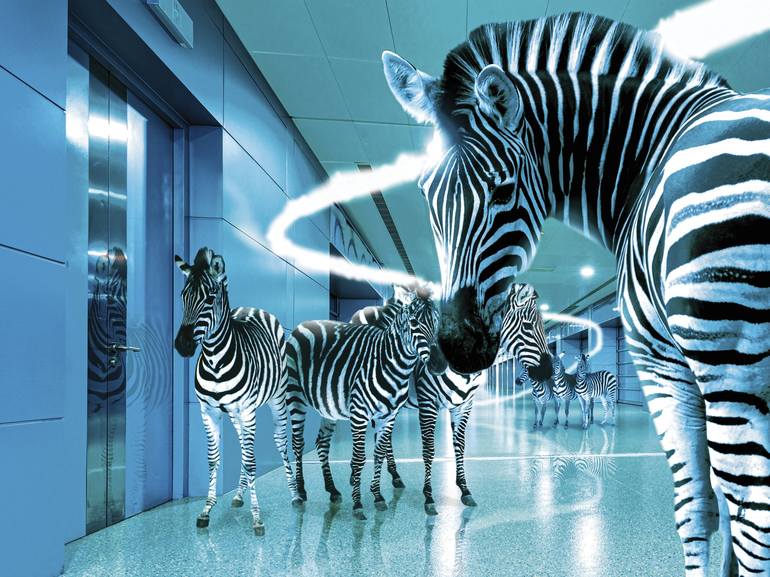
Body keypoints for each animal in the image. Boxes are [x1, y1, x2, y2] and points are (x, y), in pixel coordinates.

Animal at [173, 247, 299, 535]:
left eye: (210, 298)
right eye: (183, 296)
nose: (183, 345)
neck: (214, 360)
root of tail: (254, 308)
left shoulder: (247, 408)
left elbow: (252, 461)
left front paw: (257, 518)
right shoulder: (208, 411)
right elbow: (213, 459)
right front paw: (206, 510)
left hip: (276, 400)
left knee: (279, 441)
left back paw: (295, 494)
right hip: (234, 413)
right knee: (243, 444)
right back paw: (240, 494)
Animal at [286, 286, 443, 520]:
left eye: (438, 321)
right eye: (414, 322)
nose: (440, 364)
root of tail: (303, 324)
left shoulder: (388, 413)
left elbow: (379, 451)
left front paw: (377, 495)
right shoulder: (360, 412)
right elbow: (361, 456)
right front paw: (358, 502)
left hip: (328, 405)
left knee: (322, 442)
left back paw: (332, 489)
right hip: (295, 395)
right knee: (298, 443)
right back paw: (301, 491)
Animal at [352, 282, 551, 514]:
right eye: (528, 326)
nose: (548, 370)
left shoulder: (464, 405)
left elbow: (460, 446)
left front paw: (465, 490)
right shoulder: (428, 402)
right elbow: (429, 449)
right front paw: (429, 497)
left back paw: (394, 476)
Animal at [382, 12, 770, 575]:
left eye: (503, 190)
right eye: (426, 194)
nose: (455, 348)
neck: (649, 150)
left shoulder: (662, 359)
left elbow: (697, 507)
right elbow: (714, 506)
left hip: (728, 358)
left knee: (752, 519)